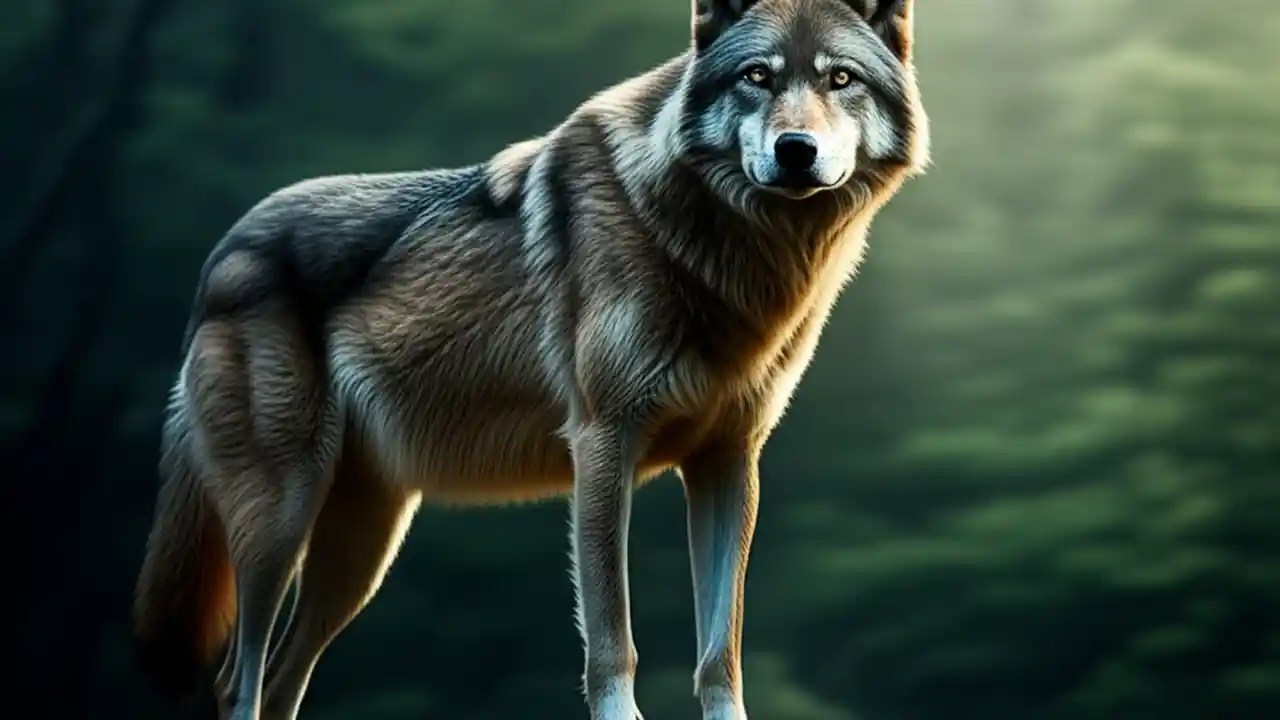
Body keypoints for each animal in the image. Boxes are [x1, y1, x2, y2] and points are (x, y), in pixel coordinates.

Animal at [132, 1, 929, 718]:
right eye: (757, 77)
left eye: (840, 79)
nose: (796, 149)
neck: (720, 249)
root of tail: (219, 256)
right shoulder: (603, 443)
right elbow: (613, 641)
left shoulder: (729, 459)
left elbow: (718, 654)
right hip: (282, 521)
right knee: (237, 681)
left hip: (360, 555)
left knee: (280, 683)